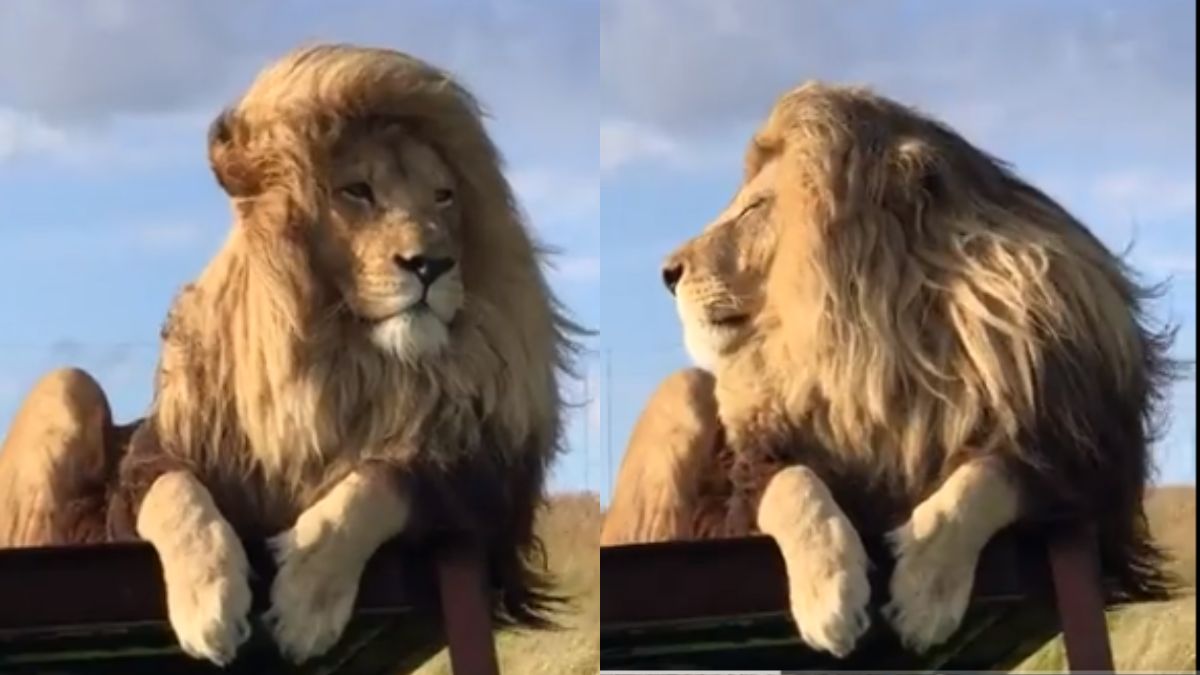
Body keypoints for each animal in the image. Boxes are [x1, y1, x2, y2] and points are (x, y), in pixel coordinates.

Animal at [0, 43, 582, 666]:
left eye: (444, 197)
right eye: (357, 191)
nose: (430, 264)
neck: (351, 364)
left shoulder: (479, 494)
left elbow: (376, 482)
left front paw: (307, 598)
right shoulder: (148, 470)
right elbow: (176, 493)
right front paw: (209, 602)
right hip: (68, 383)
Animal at [602, 82, 1181, 658]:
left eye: (754, 209)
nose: (667, 273)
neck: (883, 349)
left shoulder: (1083, 468)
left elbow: (987, 476)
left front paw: (925, 592)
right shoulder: (734, 496)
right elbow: (793, 482)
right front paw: (830, 594)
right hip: (684, 391)